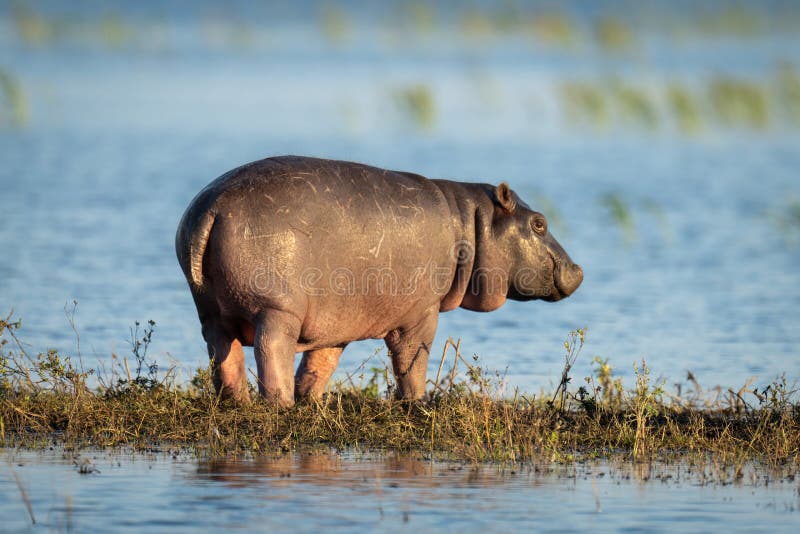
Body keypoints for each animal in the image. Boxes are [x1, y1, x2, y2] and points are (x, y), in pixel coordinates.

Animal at [176, 156, 582, 405]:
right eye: (539, 223)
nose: (578, 270)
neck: (471, 223)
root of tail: (212, 207)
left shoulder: (337, 320)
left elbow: (320, 363)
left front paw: (312, 400)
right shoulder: (421, 312)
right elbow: (413, 359)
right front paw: (419, 403)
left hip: (210, 311)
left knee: (223, 354)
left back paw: (237, 402)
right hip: (277, 309)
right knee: (270, 349)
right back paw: (280, 404)